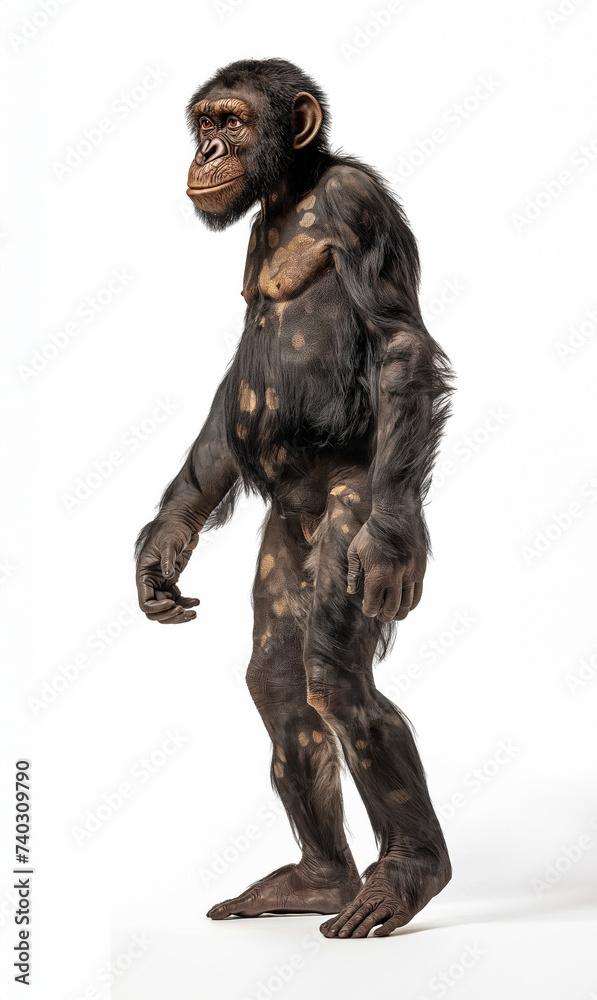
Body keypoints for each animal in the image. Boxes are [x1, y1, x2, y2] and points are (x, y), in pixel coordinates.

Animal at [135, 58, 454, 939]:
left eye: (235, 121)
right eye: (207, 120)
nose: (210, 148)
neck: (295, 188)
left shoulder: (356, 205)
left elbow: (399, 342)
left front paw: (391, 550)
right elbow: (230, 395)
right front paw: (163, 542)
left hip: (350, 501)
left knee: (333, 681)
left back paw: (401, 879)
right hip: (286, 533)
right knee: (279, 683)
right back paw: (318, 881)